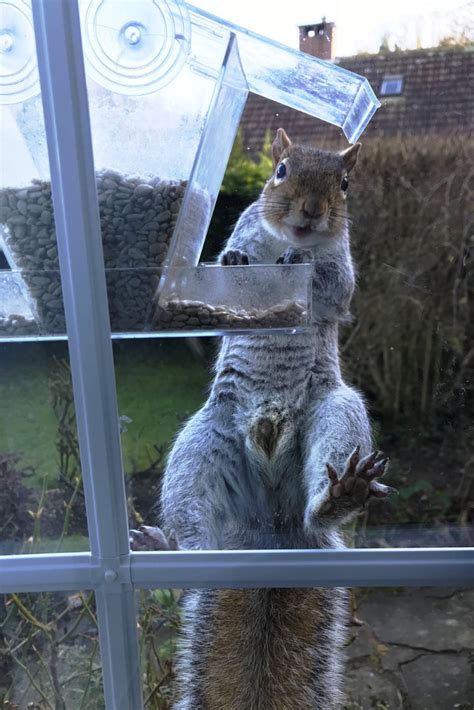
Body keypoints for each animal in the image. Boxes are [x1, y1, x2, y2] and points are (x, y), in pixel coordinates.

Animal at [131, 128, 395, 709]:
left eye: (345, 183)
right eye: (280, 171)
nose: (310, 212)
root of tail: (272, 531)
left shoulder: (341, 268)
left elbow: (333, 284)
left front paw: (303, 257)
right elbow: (233, 267)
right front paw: (235, 257)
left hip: (336, 416)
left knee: (325, 493)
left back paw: (339, 497)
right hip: (198, 449)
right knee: (194, 535)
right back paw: (171, 548)